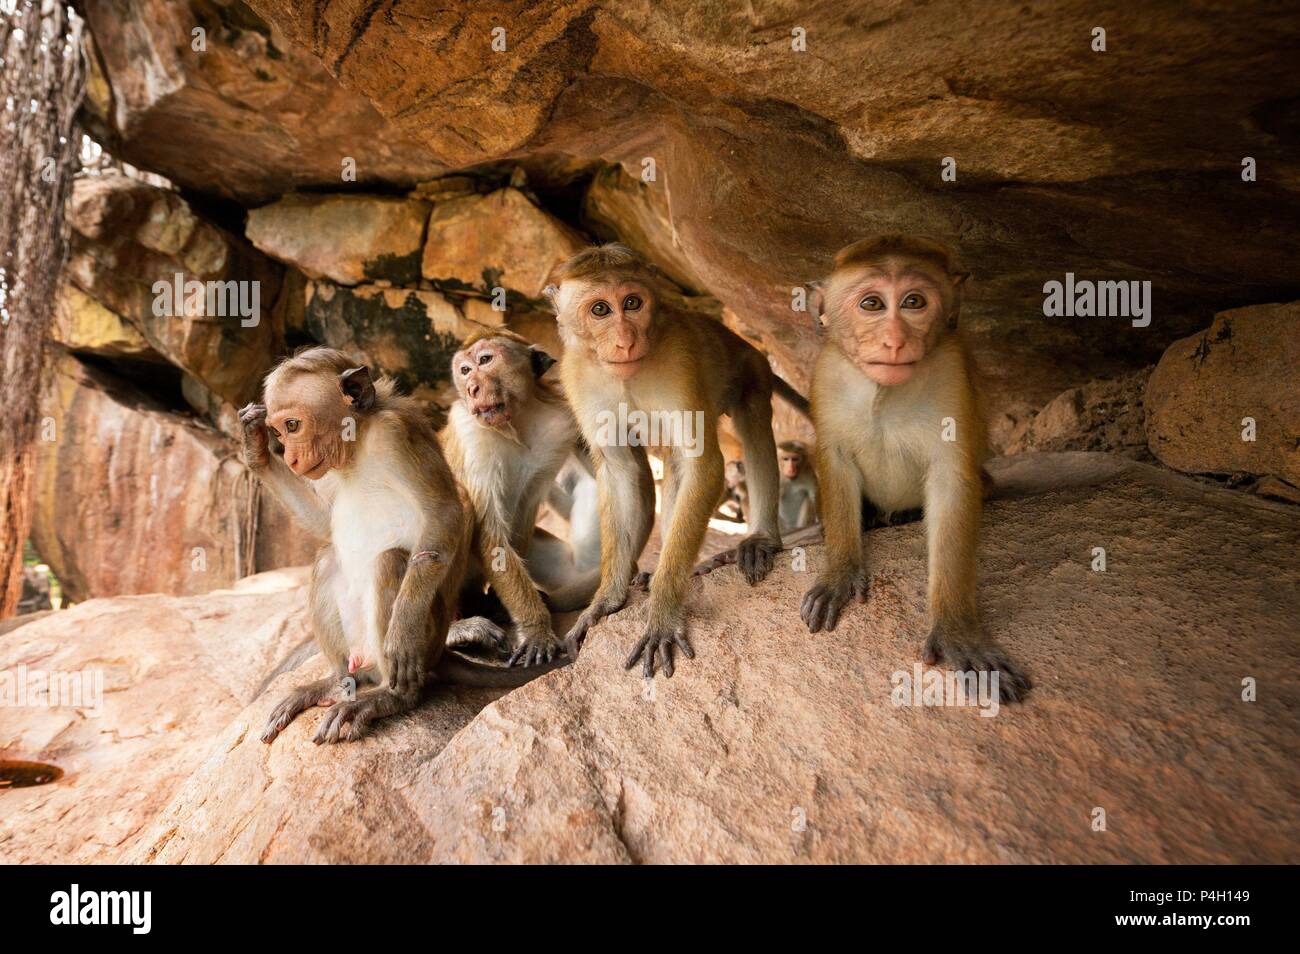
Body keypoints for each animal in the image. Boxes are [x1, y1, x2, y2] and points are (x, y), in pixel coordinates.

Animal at [239, 347, 563, 745]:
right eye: (278, 430)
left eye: (293, 425)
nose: (291, 457)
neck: (357, 444)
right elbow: (324, 521)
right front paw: (255, 450)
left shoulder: (395, 435)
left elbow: (445, 514)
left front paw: (402, 635)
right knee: (328, 559)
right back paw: (340, 681)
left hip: (428, 636)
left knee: (390, 561)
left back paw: (391, 697)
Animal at [438, 330, 600, 667]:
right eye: (464, 370)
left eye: (485, 359)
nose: (471, 388)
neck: (517, 425)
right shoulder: (470, 432)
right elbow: (490, 535)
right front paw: (537, 629)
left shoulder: (560, 421)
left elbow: (523, 513)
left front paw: (503, 605)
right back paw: (454, 630)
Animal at [550, 243, 803, 678]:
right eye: (600, 309)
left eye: (632, 303)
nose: (625, 341)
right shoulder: (577, 376)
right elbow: (619, 470)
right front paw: (606, 599)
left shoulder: (678, 361)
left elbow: (703, 465)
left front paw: (663, 612)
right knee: (669, 464)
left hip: (752, 370)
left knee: (752, 425)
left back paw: (759, 539)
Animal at [799, 234, 1030, 702]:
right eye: (871, 304)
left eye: (913, 302)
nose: (894, 341)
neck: (882, 392)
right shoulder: (826, 374)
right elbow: (835, 460)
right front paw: (839, 570)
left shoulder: (951, 372)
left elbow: (951, 481)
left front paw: (956, 628)